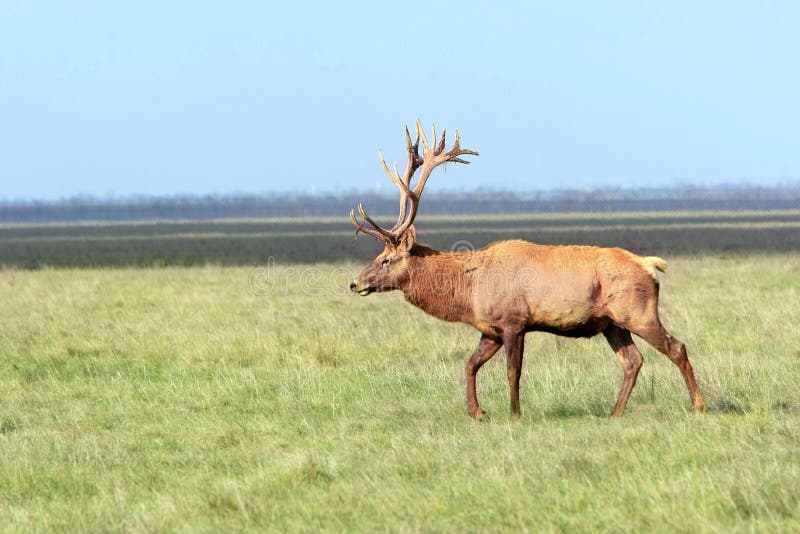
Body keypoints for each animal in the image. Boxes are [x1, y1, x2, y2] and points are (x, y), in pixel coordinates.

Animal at [349, 120, 706, 420]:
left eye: (386, 259)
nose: (355, 283)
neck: (469, 292)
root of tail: (650, 265)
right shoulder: (490, 328)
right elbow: (469, 365)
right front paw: (477, 413)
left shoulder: (513, 320)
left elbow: (512, 372)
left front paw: (514, 415)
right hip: (612, 323)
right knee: (633, 361)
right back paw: (615, 413)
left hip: (638, 312)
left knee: (676, 347)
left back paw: (699, 405)